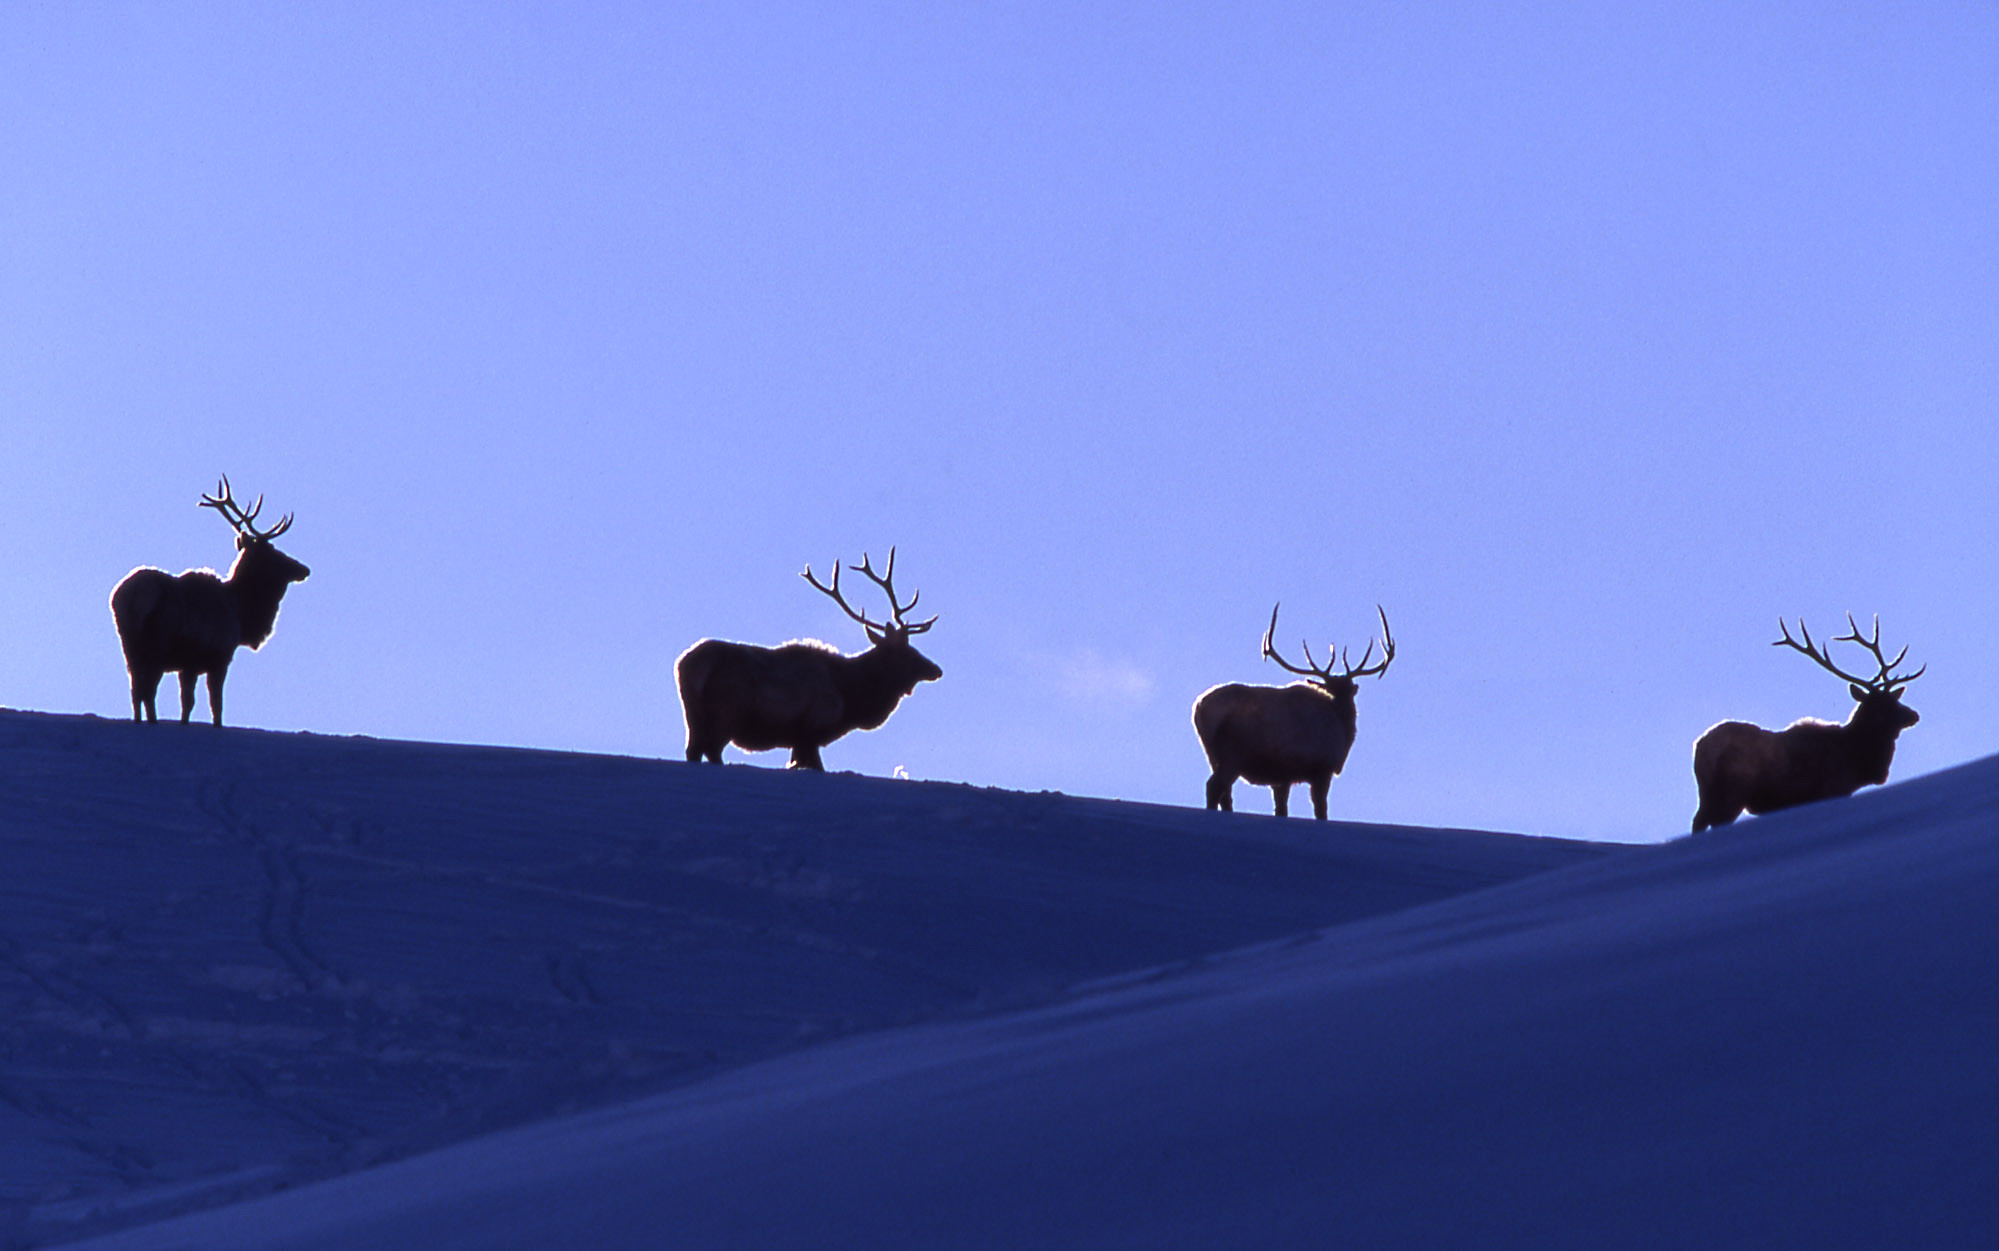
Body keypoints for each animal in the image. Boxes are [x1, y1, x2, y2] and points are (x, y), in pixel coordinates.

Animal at [109, 478, 311, 726]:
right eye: (275, 553)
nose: (304, 569)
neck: (241, 613)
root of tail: (132, 596)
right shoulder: (216, 657)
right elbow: (213, 704)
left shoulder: (188, 665)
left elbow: (187, 705)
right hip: (158, 643)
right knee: (147, 691)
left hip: (129, 646)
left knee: (135, 691)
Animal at [676, 548, 942, 771]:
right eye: (910, 652)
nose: (936, 669)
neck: (850, 695)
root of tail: (687, 665)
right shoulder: (811, 728)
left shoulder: (798, 739)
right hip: (728, 711)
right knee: (711, 750)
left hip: (693, 715)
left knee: (693, 751)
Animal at [1192, 603, 1395, 820]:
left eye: (1346, 688)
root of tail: (1198, 708)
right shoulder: (1321, 768)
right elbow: (1320, 810)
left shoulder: (1282, 776)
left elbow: (1281, 809)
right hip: (1233, 753)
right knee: (1214, 786)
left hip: (1213, 755)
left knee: (1224, 793)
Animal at [1690, 615, 1924, 834]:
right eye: (1883, 706)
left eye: (1895, 699)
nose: (1914, 715)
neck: (1855, 761)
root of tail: (1701, 746)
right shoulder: (1831, 790)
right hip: (1732, 792)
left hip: (1706, 793)